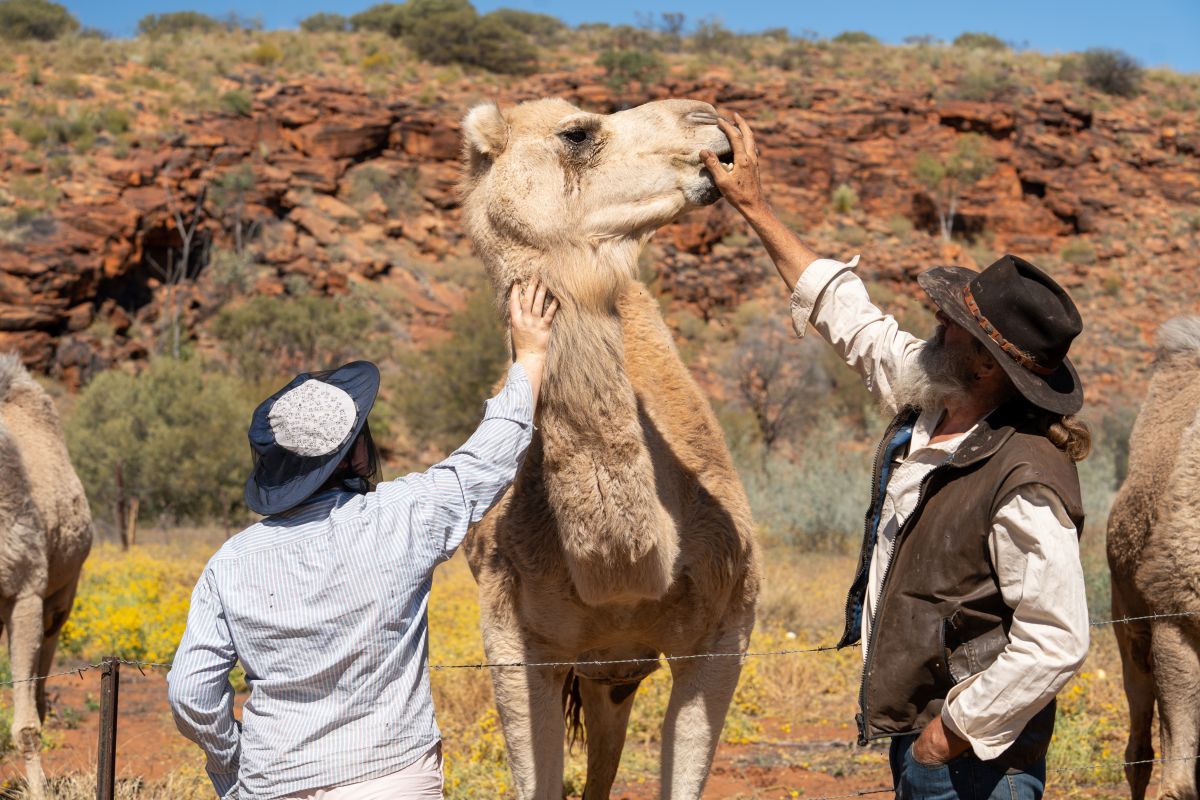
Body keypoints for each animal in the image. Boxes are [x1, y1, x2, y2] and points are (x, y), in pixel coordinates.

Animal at [458, 98, 761, 799]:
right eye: (577, 132)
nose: (708, 121)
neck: (625, 574)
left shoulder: (727, 630)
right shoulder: (512, 638)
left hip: (617, 673)